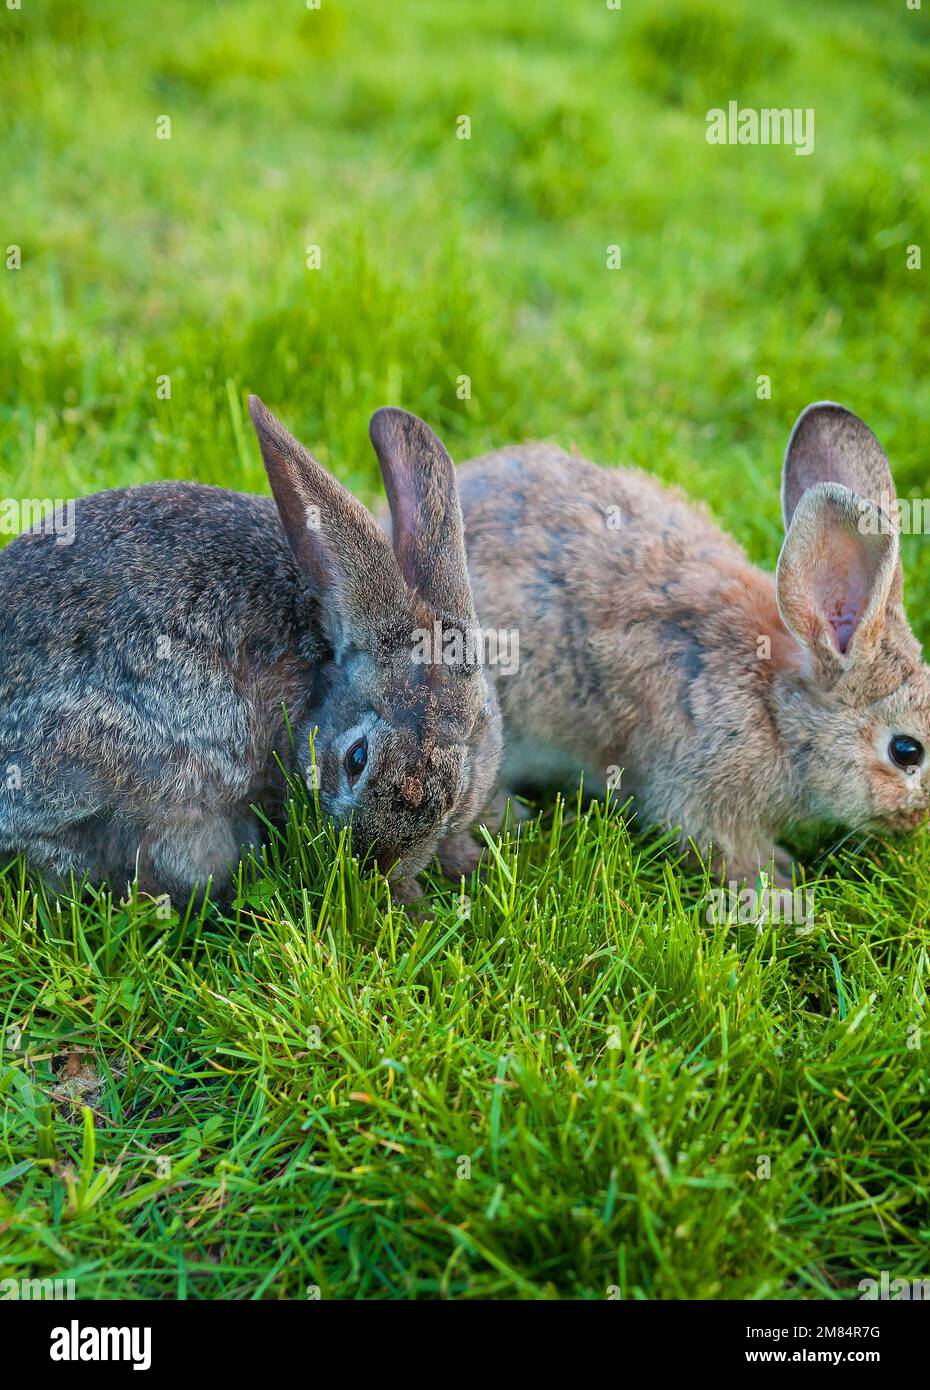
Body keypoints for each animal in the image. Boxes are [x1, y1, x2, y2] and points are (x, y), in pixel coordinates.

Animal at [456, 402, 930, 886]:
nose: (919, 819)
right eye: (906, 751)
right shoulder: (701, 789)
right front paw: (780, 888)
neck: (776, 710)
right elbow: (721, 849)